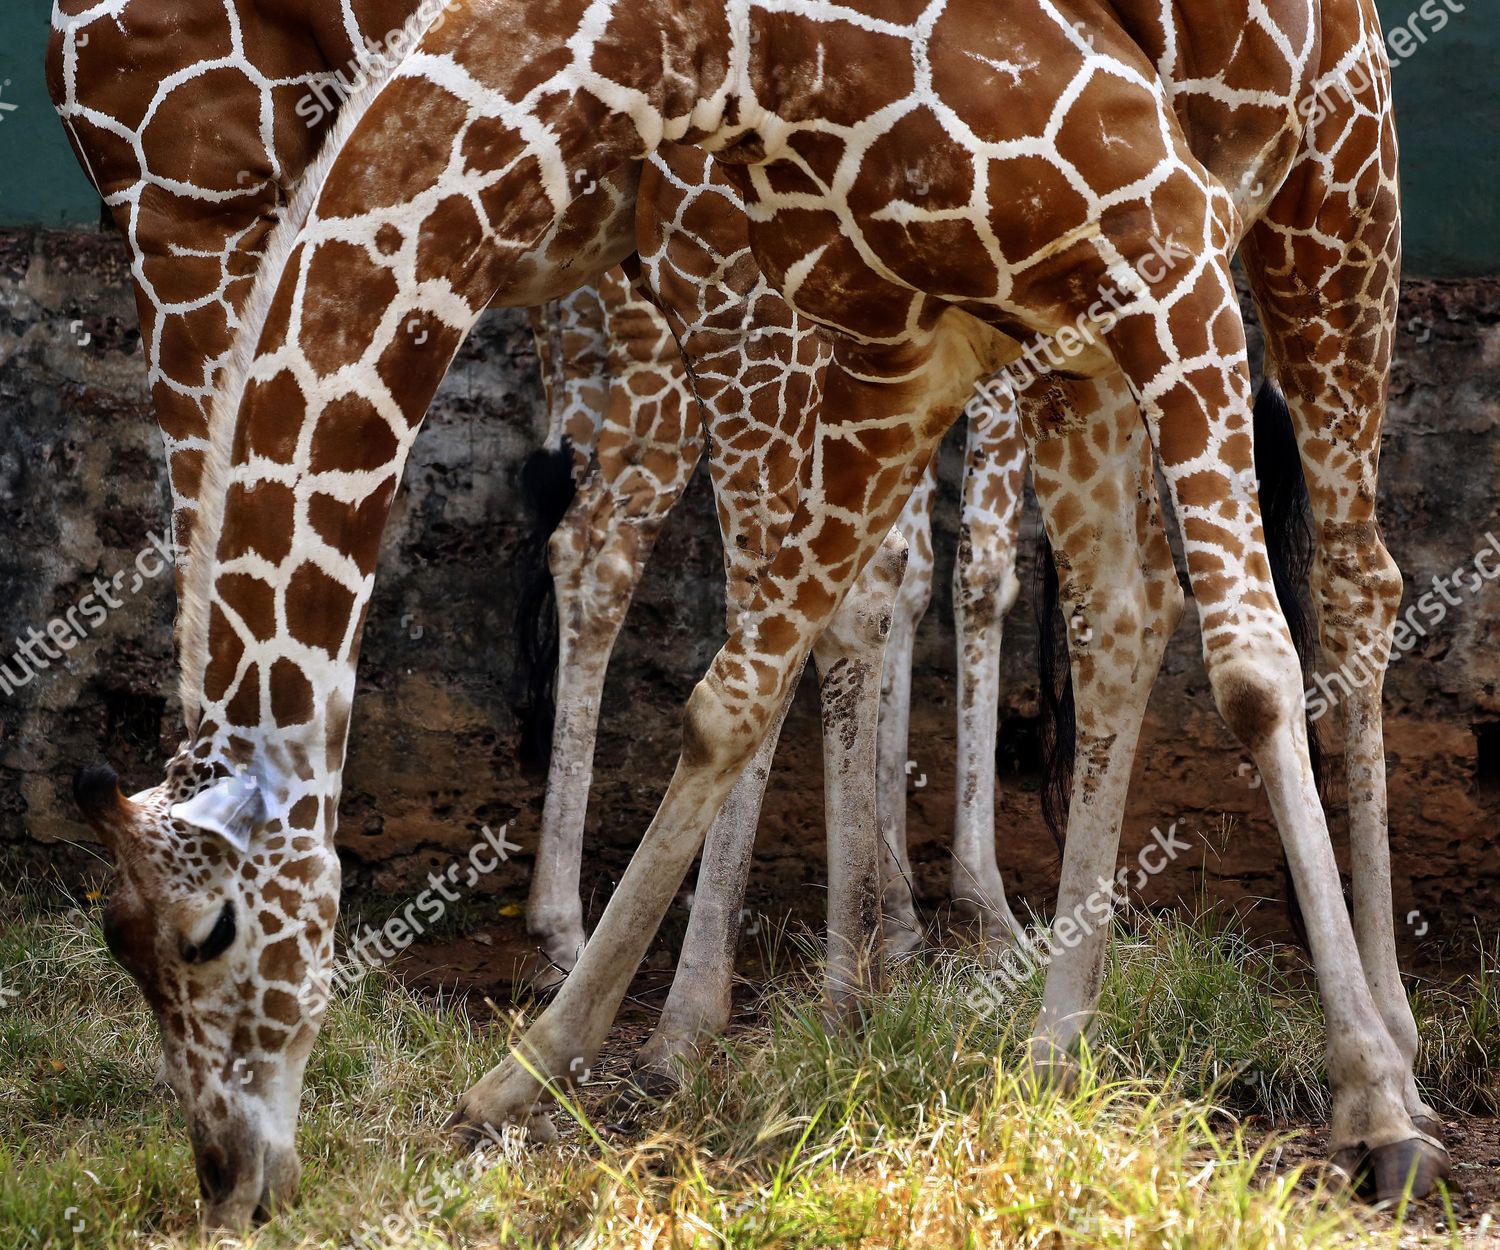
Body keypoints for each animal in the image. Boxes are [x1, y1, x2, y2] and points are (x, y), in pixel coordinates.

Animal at [64, 0, 1446, 1218]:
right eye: (116, 945)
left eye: (208, 931)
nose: (231, 1179)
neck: (706, 49)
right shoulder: (907, 337)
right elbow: (745, 681)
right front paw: (560, 1063)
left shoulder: (1145, 234)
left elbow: (1247, 667)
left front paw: (1373, 1106)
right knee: (1120, 605)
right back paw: (1057, 1050)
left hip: (1334, 193)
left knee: (1346, 582)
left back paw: (1391, 1033)